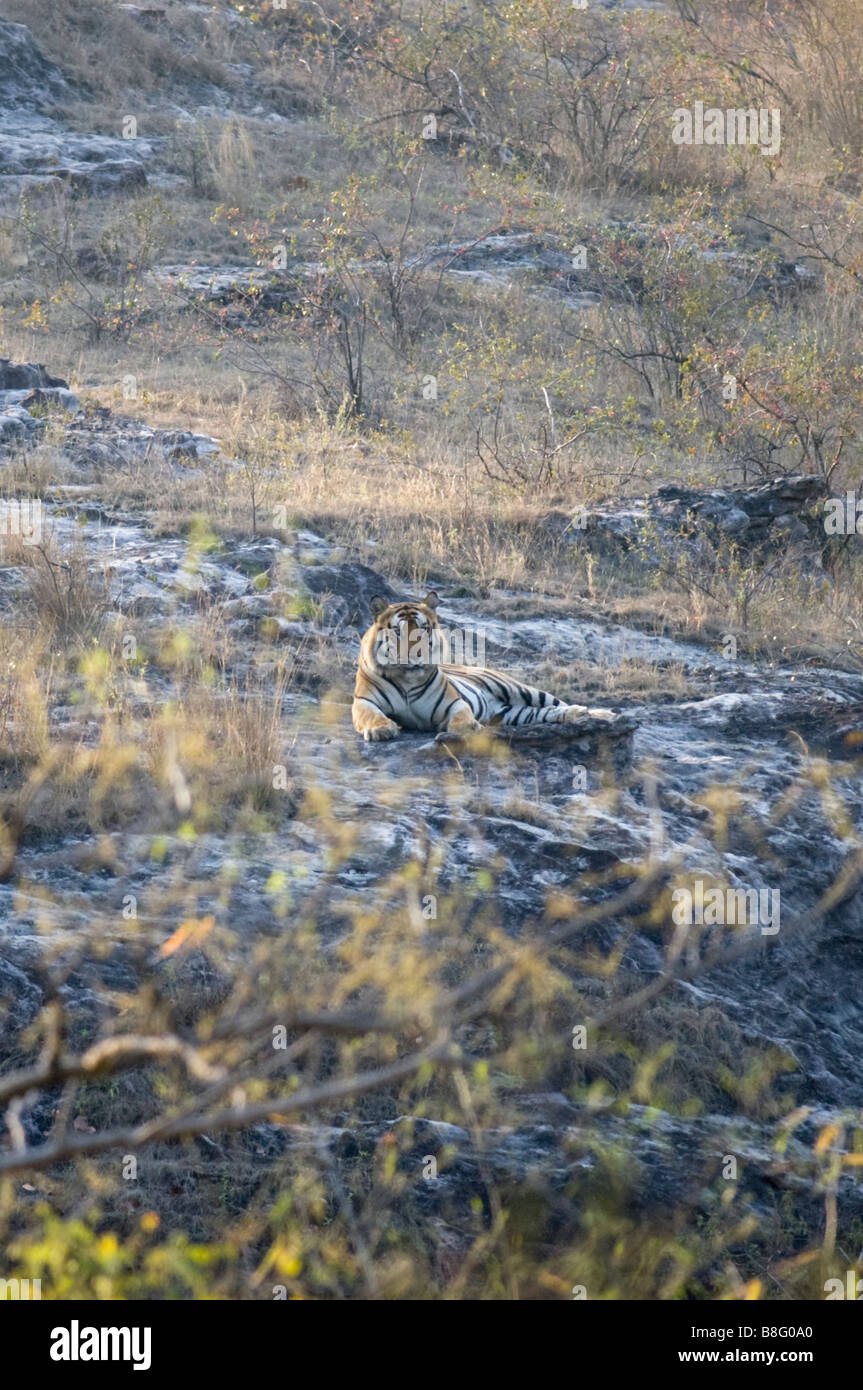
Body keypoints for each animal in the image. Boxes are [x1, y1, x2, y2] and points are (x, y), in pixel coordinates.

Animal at [352, 590, 617, 742]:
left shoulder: (453, 701)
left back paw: (600, 714)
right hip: (513, 714)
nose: (416, 655)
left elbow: (461, 713)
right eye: (398, 631)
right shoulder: (364, 701)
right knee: (546, 712)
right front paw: (381, 729)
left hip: (519, 689)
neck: (408, 678)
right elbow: (371, 714)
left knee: (556, 703)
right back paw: (577, 715)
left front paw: (467, 727)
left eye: (424, 628)